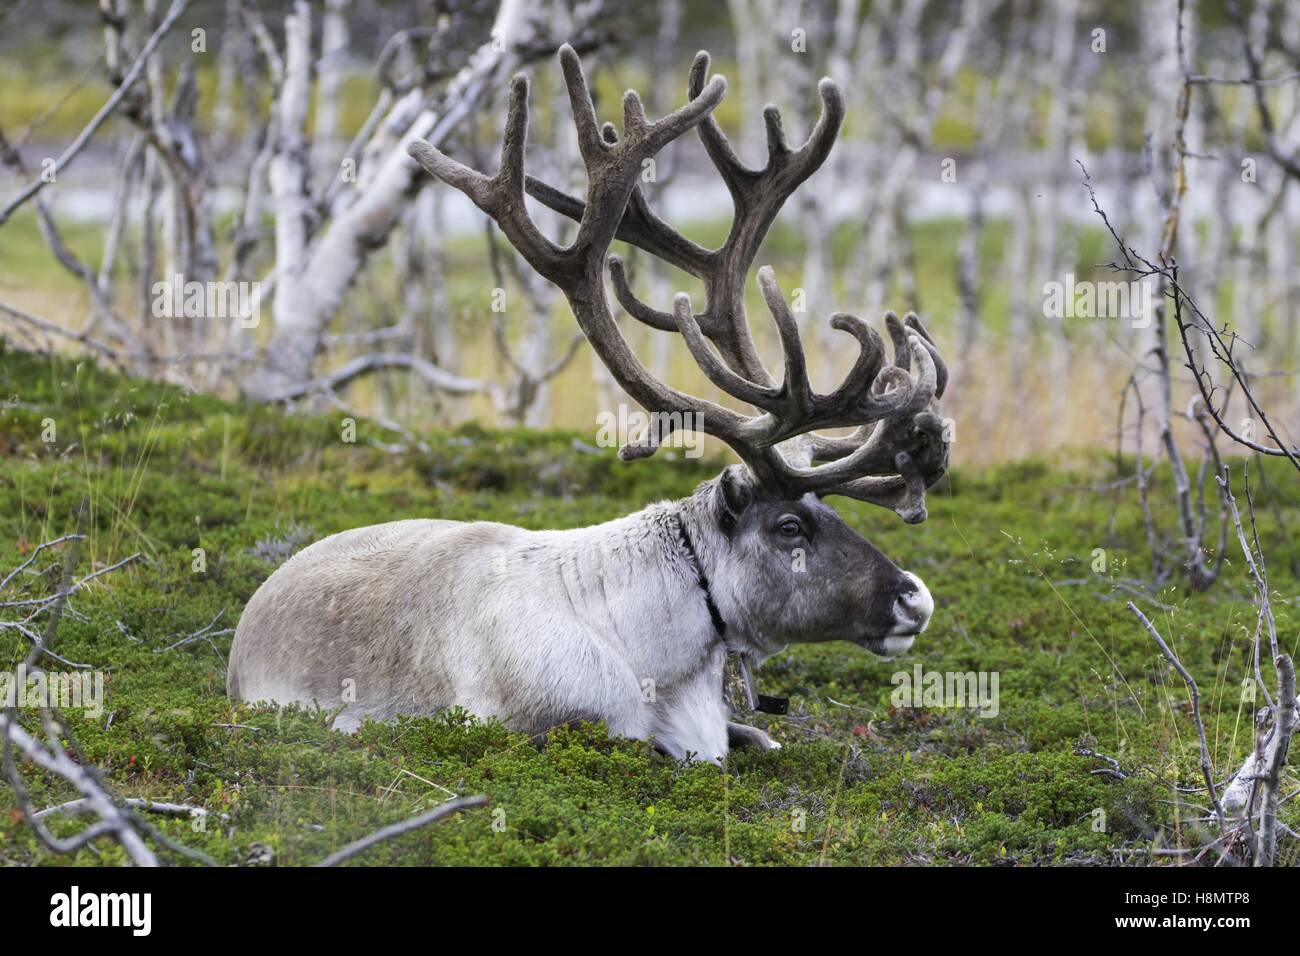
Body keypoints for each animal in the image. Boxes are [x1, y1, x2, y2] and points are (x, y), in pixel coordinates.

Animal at [227, 45, 950, 764]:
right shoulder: (533, 728)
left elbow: (763, 736)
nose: (914, 597)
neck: (658, 663)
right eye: (790, 527)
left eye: (829, 510)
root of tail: (246, 625)